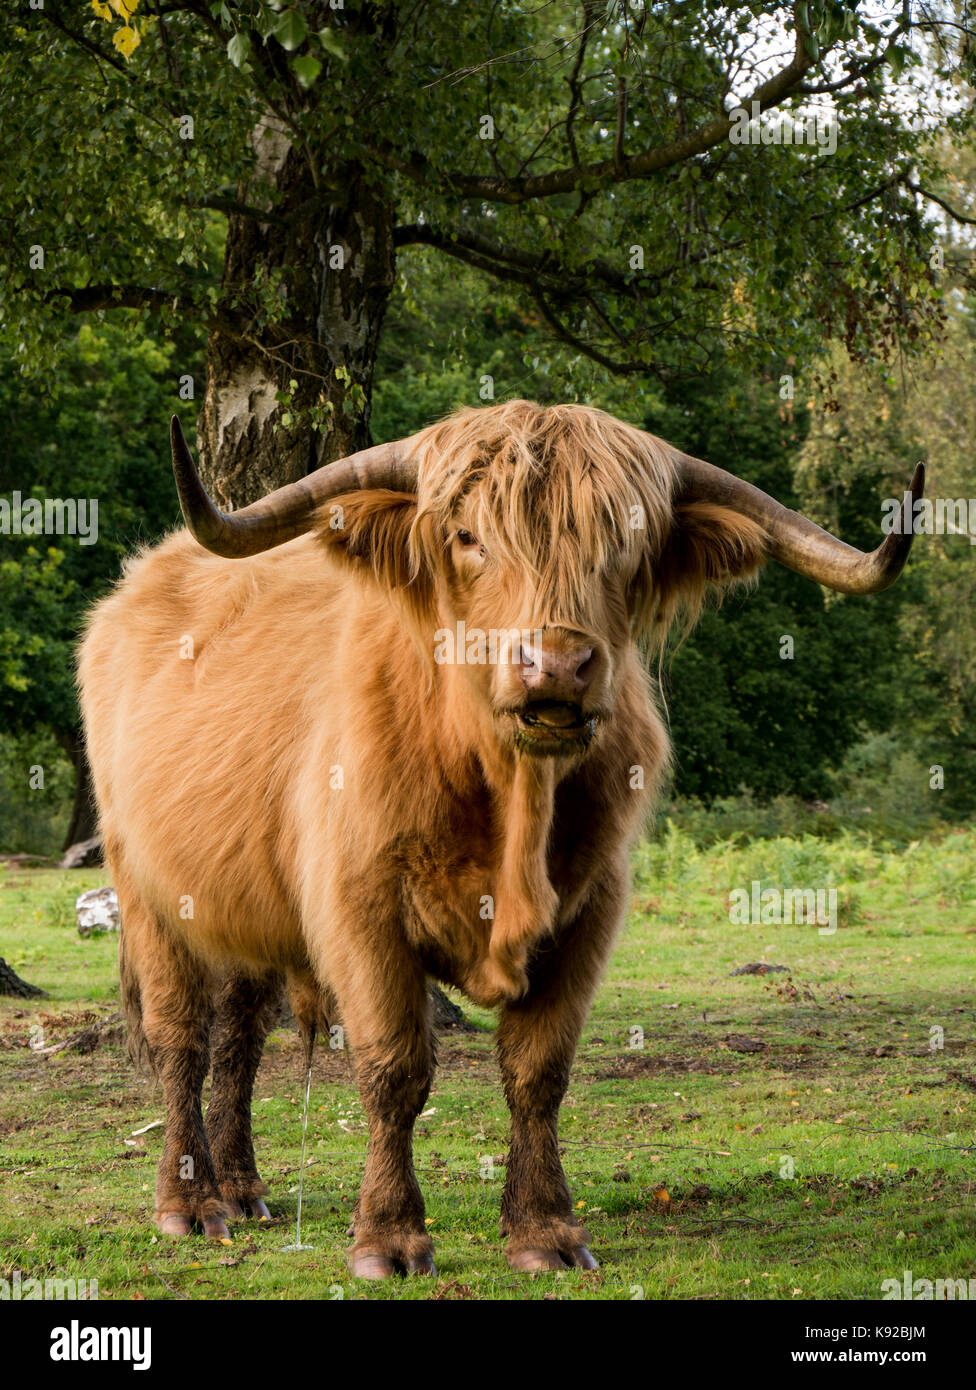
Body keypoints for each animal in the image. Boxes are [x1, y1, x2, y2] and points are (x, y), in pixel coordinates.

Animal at [78, 400, 922, 1277]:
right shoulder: (360, 909)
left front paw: (546, 1231)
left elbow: (538, 1069)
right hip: (146, 891)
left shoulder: (590, 910)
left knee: (240, 1033)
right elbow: (395, 1068)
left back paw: (245, 1191)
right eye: (467, 536)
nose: (557, 662)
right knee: (182, 1037)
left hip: (245, 909)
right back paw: (191, 1204)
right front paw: (390, 1238)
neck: (510, 802)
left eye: (626, 542)